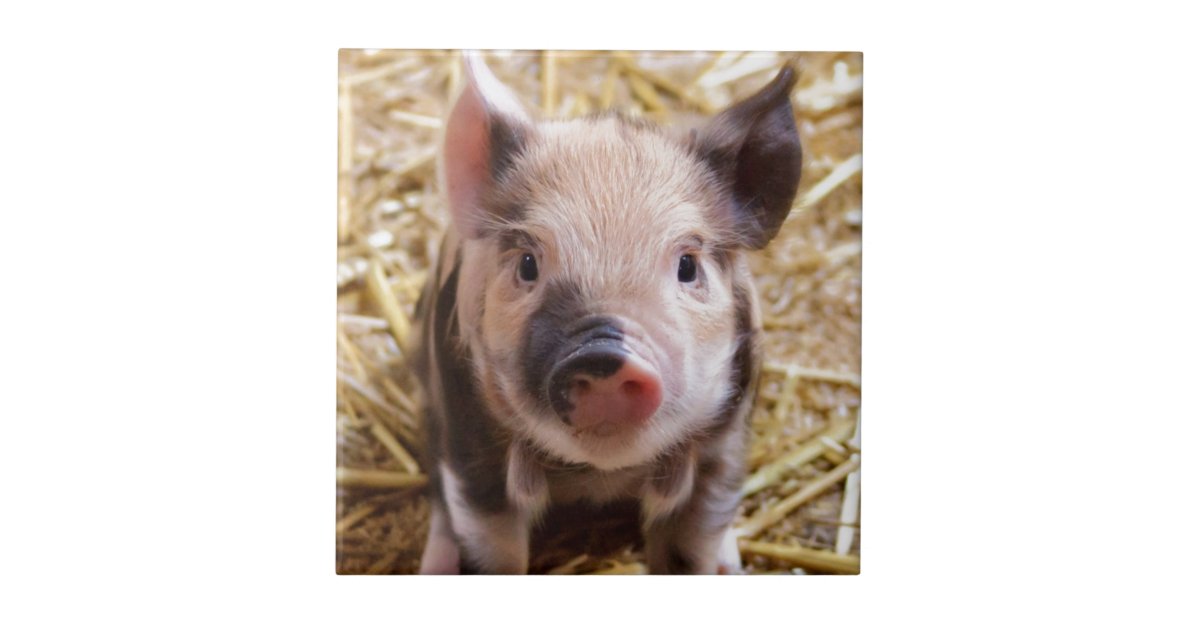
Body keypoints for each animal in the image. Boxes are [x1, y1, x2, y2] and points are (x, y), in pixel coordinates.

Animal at [412, 53, 802, 574]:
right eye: (528, 264)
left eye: (687, 266)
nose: (603, 353)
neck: (598, 476)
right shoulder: (469, 441)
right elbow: (492, 549)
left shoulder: (725, 443)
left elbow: (692, 545)